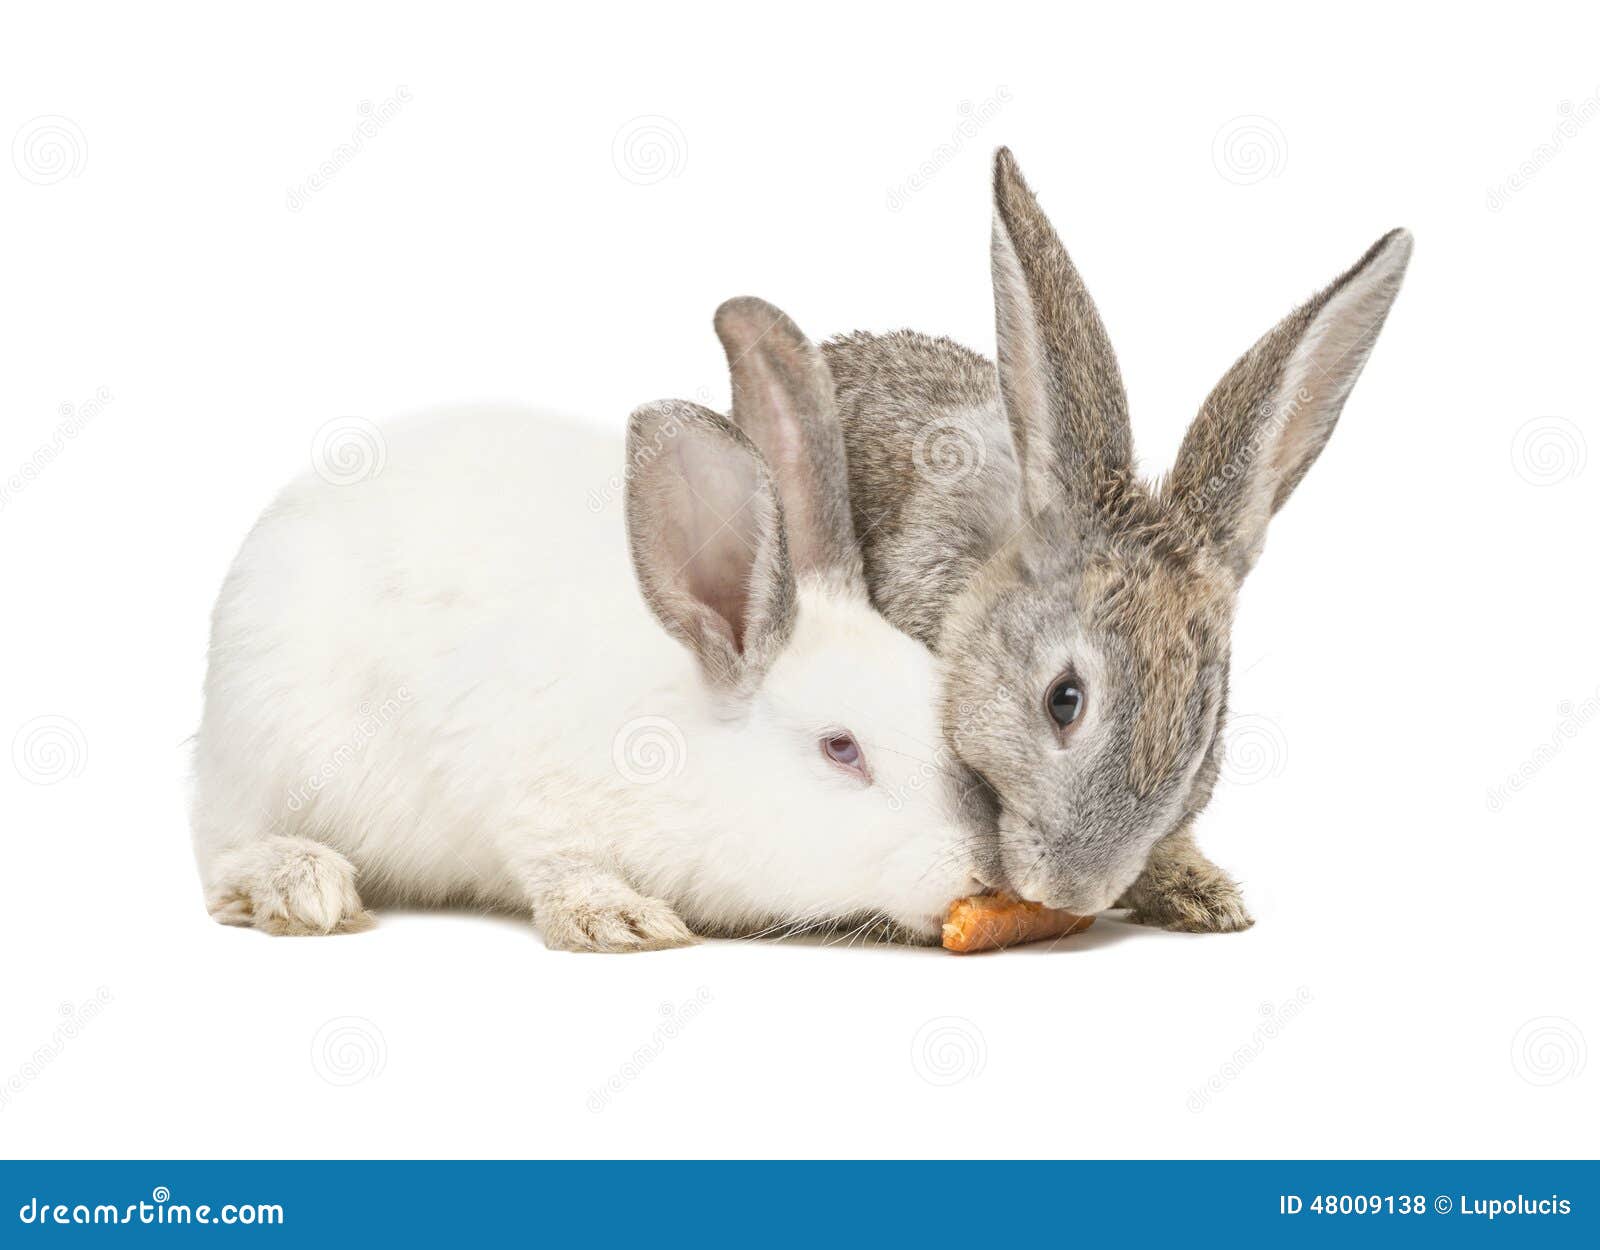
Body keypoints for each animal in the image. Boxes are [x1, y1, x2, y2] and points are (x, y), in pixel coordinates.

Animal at [188, 305, 992, 952]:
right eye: (839, 749)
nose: (980, 876)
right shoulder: (528, 798)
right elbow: (562, 865)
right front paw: (620, 920)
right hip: (270, 749)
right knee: (220, 853)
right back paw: (300, 884)